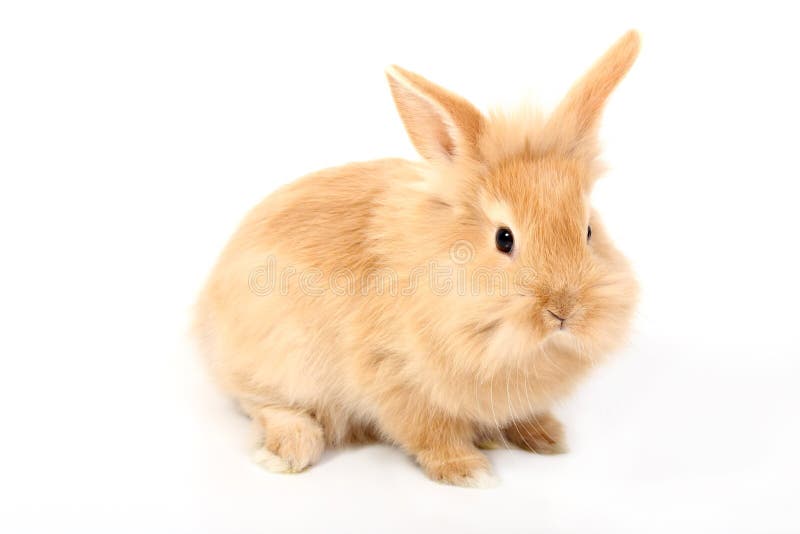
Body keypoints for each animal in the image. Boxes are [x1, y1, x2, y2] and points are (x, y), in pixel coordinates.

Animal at [194, 30, 641, 487]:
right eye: (504, 238)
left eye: (588, 231)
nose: (563, 310)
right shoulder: (398, 382)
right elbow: (430, 432)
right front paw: (467, 470)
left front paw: (545, 436)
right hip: (280, 359)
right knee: (262, 402)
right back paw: (289, 450)